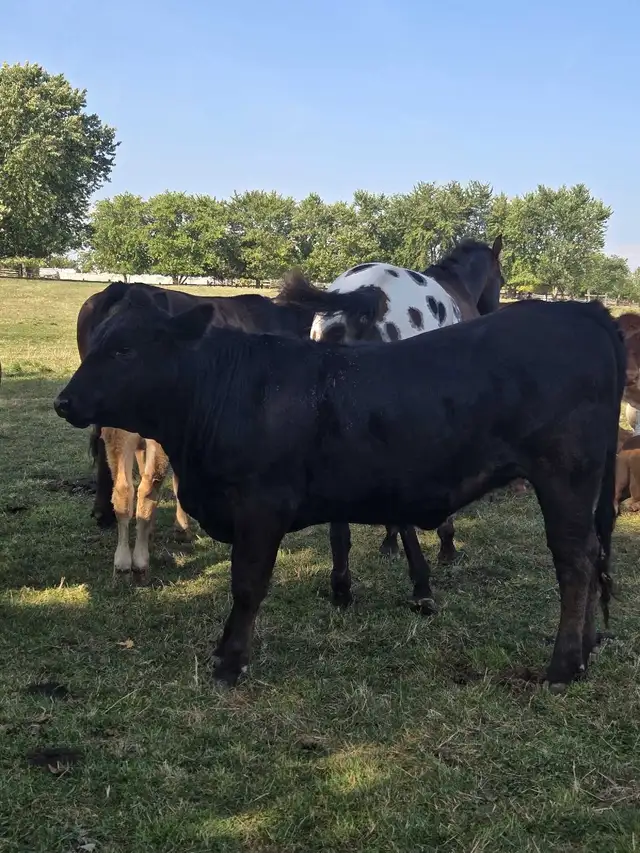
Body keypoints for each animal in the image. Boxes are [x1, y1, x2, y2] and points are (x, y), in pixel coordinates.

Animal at [55, 289, 624, 691]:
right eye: (96, 344)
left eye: (124, 349)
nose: (63, 401)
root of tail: (584, 312)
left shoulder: (260, 507)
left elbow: (247, 585)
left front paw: (231, 661)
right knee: (592, 554)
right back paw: (588, 648)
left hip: (565, 476)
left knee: (574, 561)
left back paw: (563, 665)